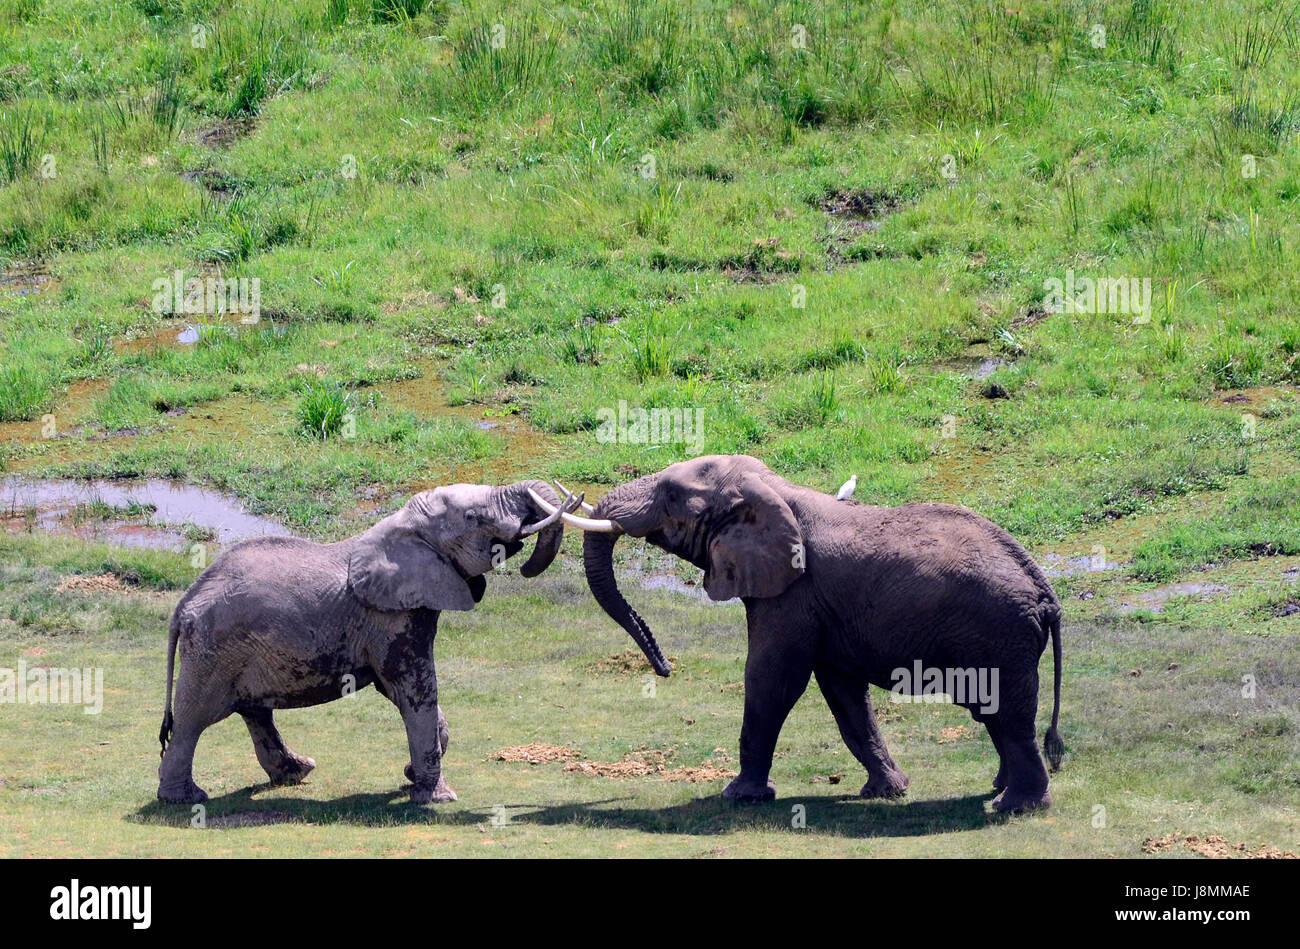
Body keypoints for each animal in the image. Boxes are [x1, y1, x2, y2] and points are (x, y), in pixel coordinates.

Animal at [157, 480, 582, 805]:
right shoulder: (388, 618)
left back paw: (297, 774)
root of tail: (183, 607)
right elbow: (415, 689)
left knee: (254, 711)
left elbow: (399, 691)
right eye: (474, 519)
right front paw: (436, 798)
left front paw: (412, 775)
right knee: (194, 720)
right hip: (213, 650)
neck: (401, 525)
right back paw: (185, 799)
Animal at [534, 454, 1063, 813]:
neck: (773, 489)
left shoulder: (793, 593)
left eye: (671, 496)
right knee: (991, 713)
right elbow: (843, 693)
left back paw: (1014, 806)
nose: (664, 670)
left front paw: (740, 797)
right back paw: (998, 789)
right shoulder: (823, 609)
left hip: (999, 635)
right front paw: (885, 792)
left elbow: (773, 679)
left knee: (1008, 713)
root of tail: (1046, 592)